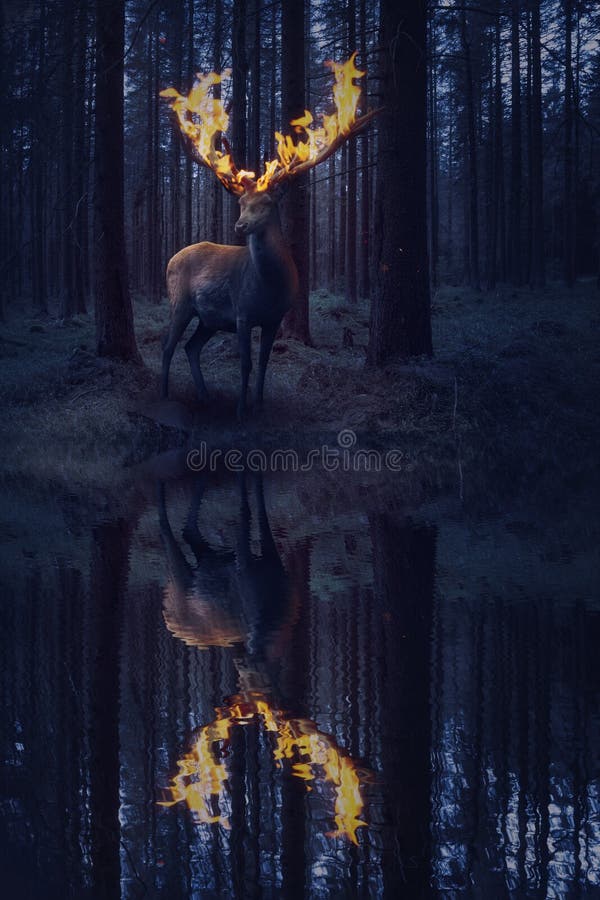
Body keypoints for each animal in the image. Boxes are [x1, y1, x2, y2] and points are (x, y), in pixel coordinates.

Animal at [160, 55, 379, 420]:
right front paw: (240, 410)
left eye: (266, 204)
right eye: (241, 203)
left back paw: (203, 396)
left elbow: (263, 363)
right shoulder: (242, 313)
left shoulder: (273, 318)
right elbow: (245, 365)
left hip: (209, 319)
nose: (239, 226)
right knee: (168, 345)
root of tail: (171, 258)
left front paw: (259, 404)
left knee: (191, 347)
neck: (269, 286)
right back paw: (164, 393)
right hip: (181, 301)